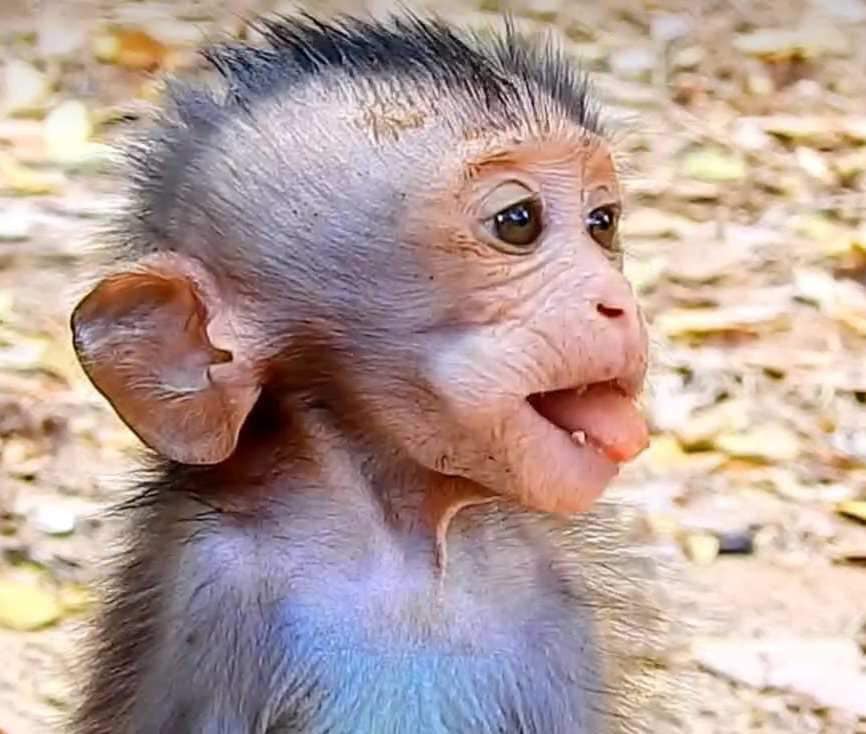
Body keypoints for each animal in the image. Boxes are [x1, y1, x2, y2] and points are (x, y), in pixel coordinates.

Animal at [68, 12, 689, 734]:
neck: (401, 550)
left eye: (601, 222)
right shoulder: (206, 593)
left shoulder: (560, 605)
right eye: (518, 220)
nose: (617, 302)